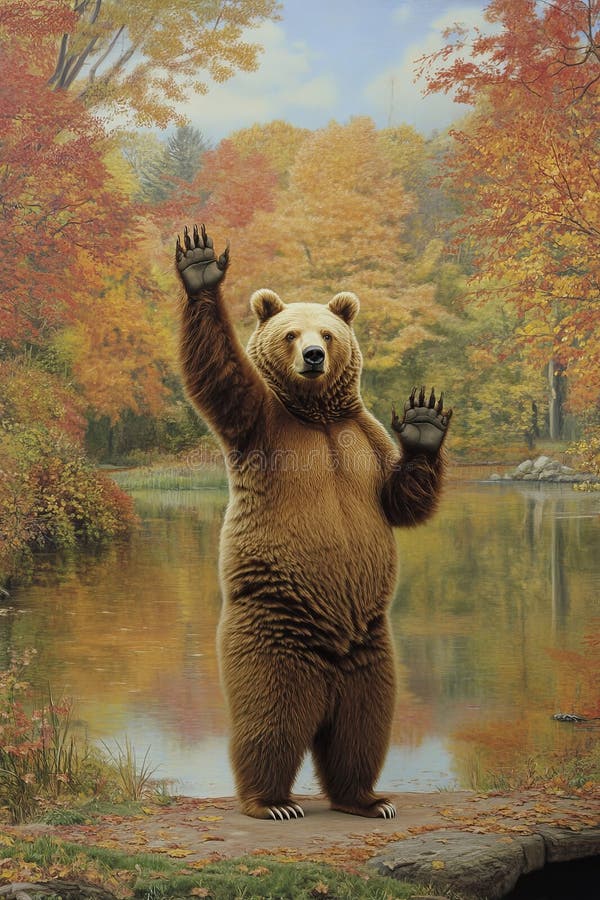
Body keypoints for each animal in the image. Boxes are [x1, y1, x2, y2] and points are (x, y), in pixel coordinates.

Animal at [175, 224, 452, 821]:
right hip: (272, 631)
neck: (316, 413)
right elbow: (222, 379)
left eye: (327, 330)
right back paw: (271, 802)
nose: (313, 355)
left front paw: (423, 423)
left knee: (363, 726)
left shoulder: (365, 439)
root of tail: (330, 662)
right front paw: (201, 268)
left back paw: (367, 798)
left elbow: (400, 499)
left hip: (373, 651)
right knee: (270, 720)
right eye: (289, 333)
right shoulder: (265, 425)